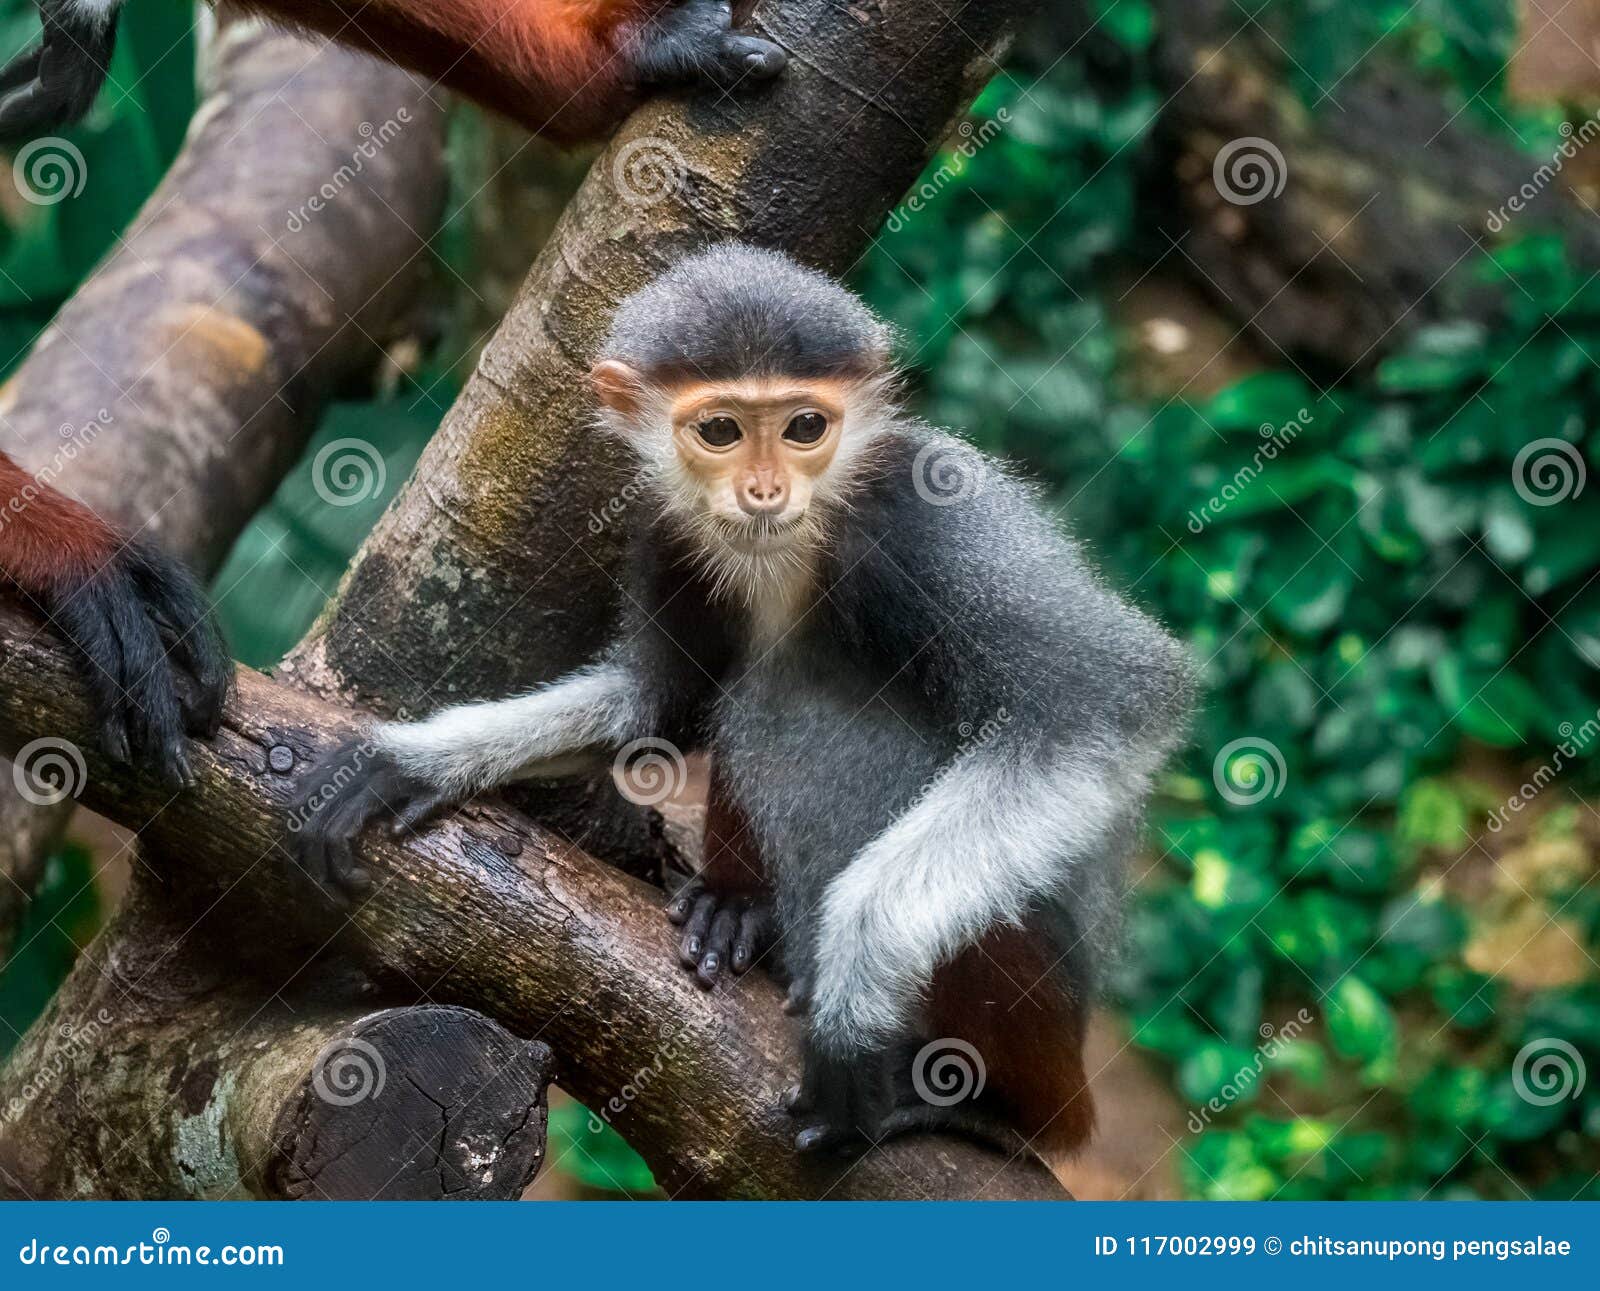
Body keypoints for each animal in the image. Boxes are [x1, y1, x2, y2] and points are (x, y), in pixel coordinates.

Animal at [289, 244, 1193, 1165]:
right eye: (721, 431)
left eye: (805, 428)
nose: (765, 491)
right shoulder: (663, 527)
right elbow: (659, 705)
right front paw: (413, 762)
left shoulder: (922, 516)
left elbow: (1107, 700)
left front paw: (851, 991)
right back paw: (738, 906)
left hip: (1042, 1023)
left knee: (780, 696)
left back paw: (984, 1103)